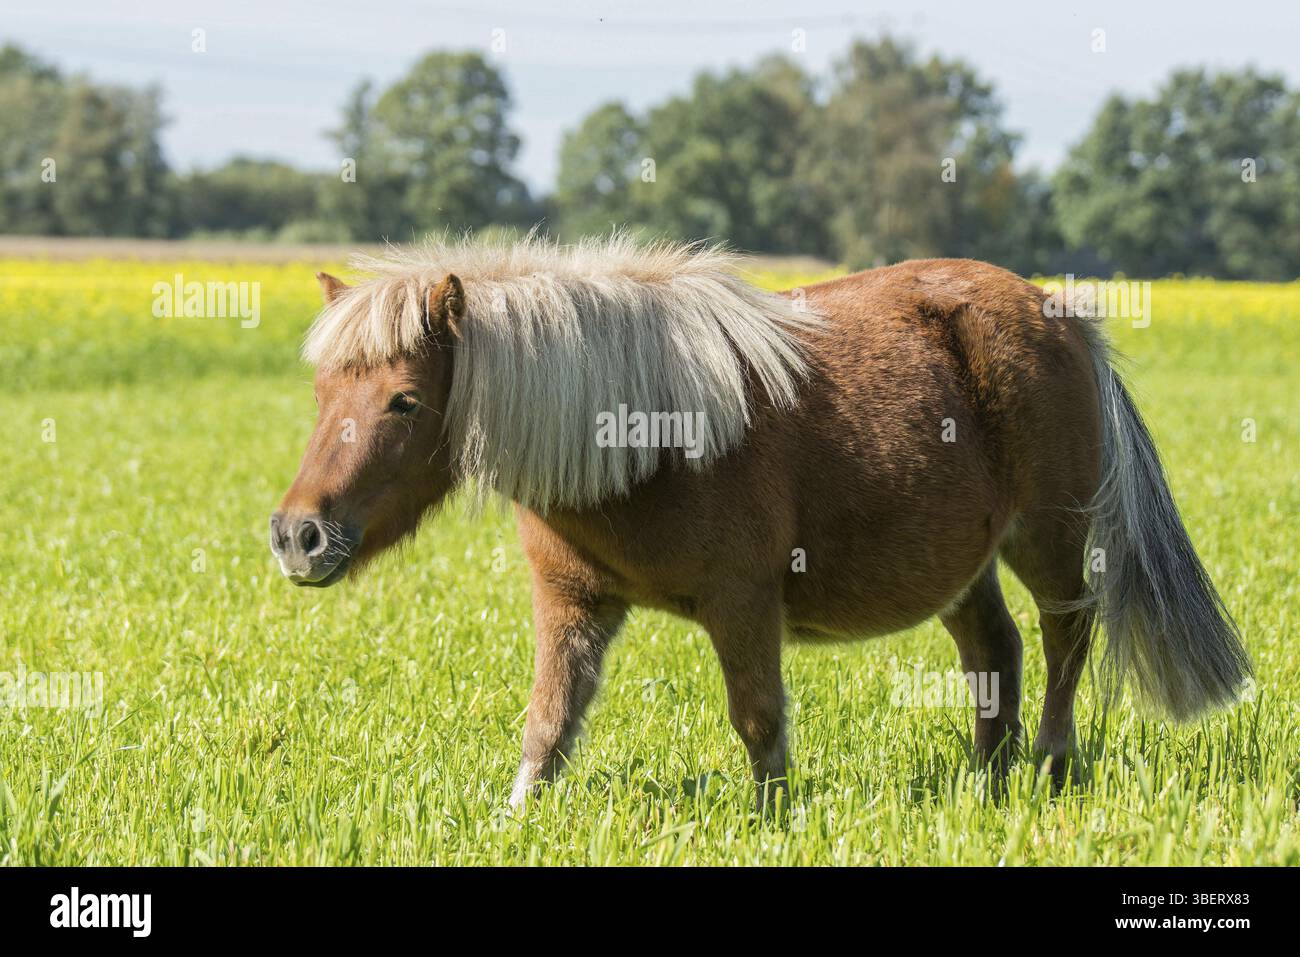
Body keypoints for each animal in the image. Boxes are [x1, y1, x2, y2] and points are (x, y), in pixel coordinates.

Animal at [269, 236, 1251, 808]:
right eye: (320, 393)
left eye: (403, 400)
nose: (297, 536)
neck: (637, 428)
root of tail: (1064, 317)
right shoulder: (572, 603)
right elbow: (548, 723)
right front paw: (517, 819)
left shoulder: (742, 601)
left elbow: (757, 717)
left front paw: (771, 818)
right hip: (962, 563)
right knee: (994, 651)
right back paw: (987, 780)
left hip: (1047, 539)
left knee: (1063, 638)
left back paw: (1046, 765)